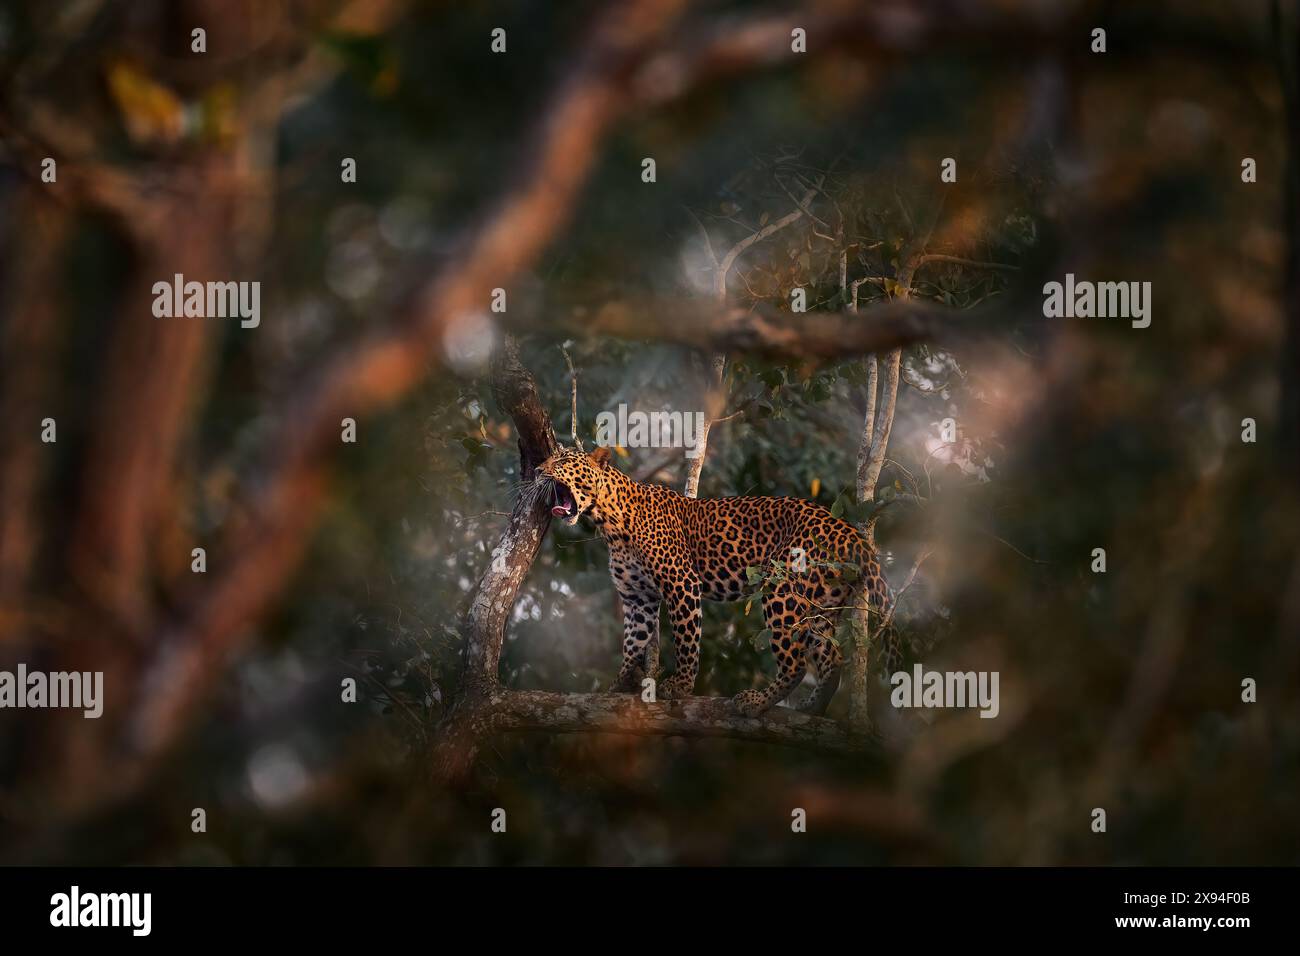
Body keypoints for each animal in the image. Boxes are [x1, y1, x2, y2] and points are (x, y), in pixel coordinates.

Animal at [536, 445, 894, 717]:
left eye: (563, 460)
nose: (538, 470)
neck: (609, 520)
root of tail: (845, 530)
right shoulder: (637, 597)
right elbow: (633, 642)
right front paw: (620, 685)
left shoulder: (680, 581)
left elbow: (686, 638)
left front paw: (680, 686)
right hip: (820, 602)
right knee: (831, 657)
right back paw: (812, 707)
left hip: (782, 589)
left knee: (795, 663)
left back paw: (756, 702)